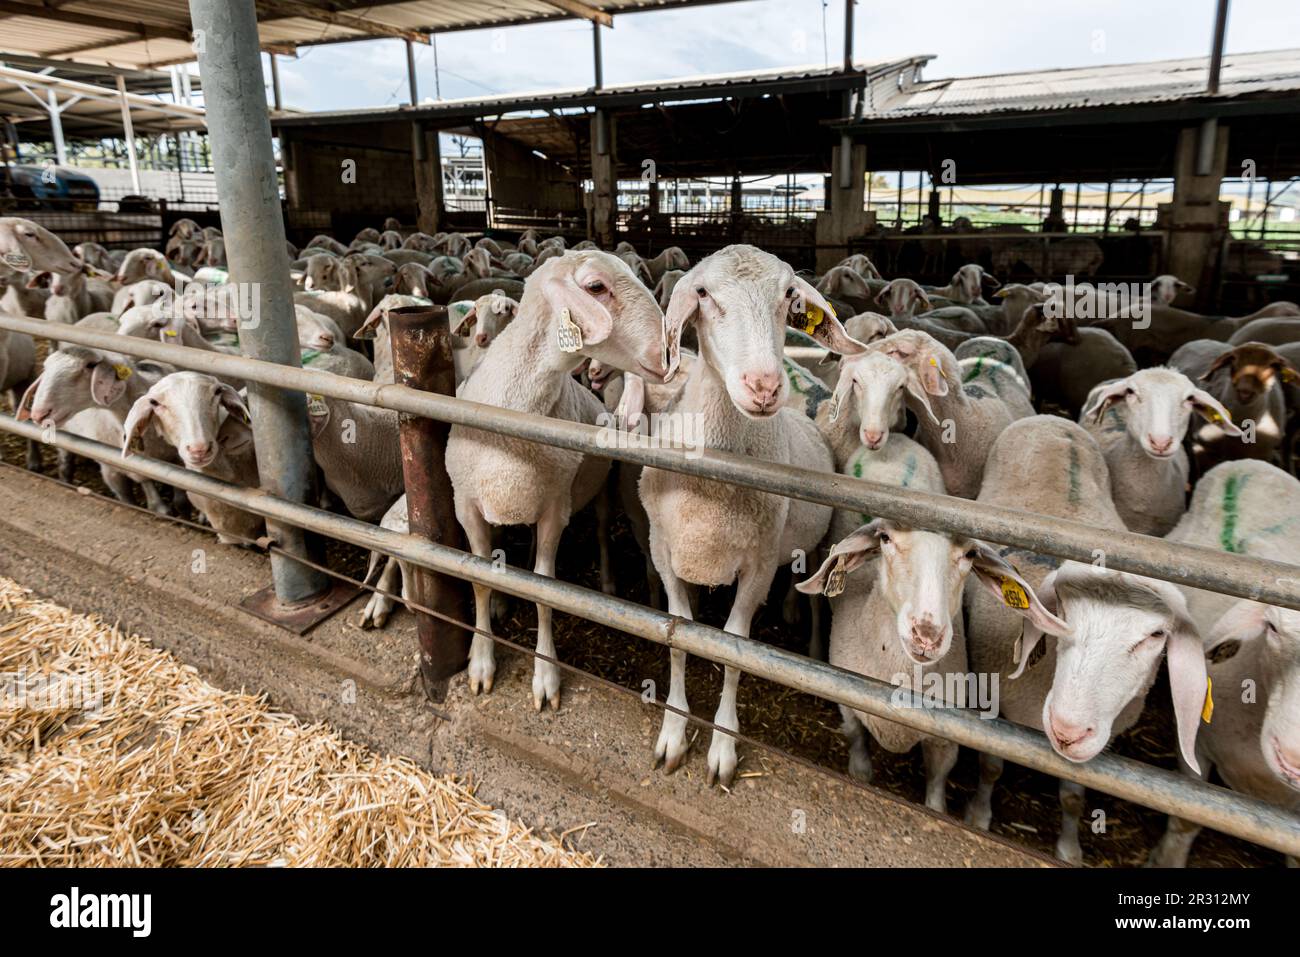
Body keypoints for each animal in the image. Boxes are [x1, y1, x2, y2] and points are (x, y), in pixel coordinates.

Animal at [445, 250, 670, 710]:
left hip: (599, 493)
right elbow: (481, 582)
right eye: (597, 286)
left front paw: (545, 677)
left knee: (600, 531)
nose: (668, 355)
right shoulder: (467, 506)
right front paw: (480, 663)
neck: (512, 411)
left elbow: (545, 590)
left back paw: (607, 581)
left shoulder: (555, 511)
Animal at [642, 244, 863, 786]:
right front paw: (673, 735)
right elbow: (679, 637)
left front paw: (722, 747)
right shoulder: (664, 549)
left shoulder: (758, 565)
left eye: (789, 296)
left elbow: (734, 646)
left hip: (816, 545)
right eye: (703, 293)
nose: (763, 386)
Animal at [795, 444, 1055, 809]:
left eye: (970, 554)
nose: (927, 635)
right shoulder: (848, 706)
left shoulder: (945, 738)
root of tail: (896, 443)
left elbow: (936, 792)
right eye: (885, 538)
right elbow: (858, 758)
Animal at [963, 415, 1209, 864]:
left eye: (1156, 635)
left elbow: (1074, 798)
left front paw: (1068, 849)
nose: (1067, 731)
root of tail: (1050, 418)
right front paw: (978, 816)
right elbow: (991, 765)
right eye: (1063, 610)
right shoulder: (994, 699)